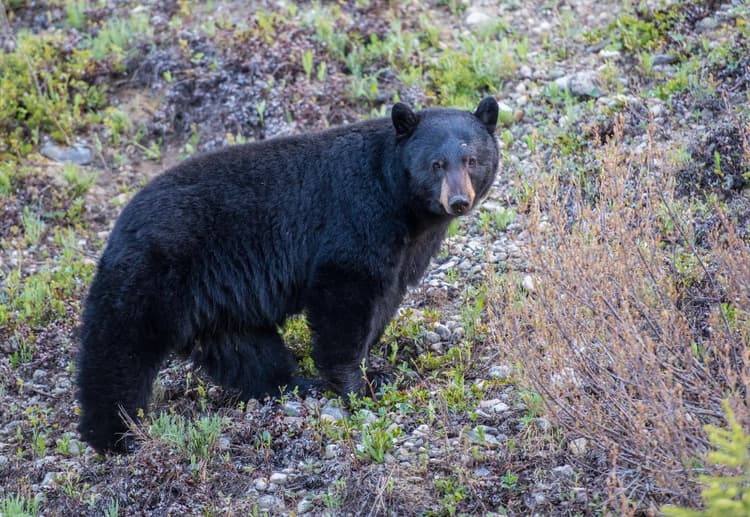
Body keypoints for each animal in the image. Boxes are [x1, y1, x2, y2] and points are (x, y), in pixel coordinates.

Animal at [77, 97, 500, 453]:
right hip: (155, 273)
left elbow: (387, 295)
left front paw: (369, 366)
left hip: (215, 300)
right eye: (436, 164)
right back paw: (114, 434)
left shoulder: (409, 247)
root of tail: (119, 226)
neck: (398, 199)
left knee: (245, 348)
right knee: (121, 346)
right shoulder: (355, 218)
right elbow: (344, 296)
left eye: (472, 160)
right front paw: (357, 383)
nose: (458, 201)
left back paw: (292, 385)